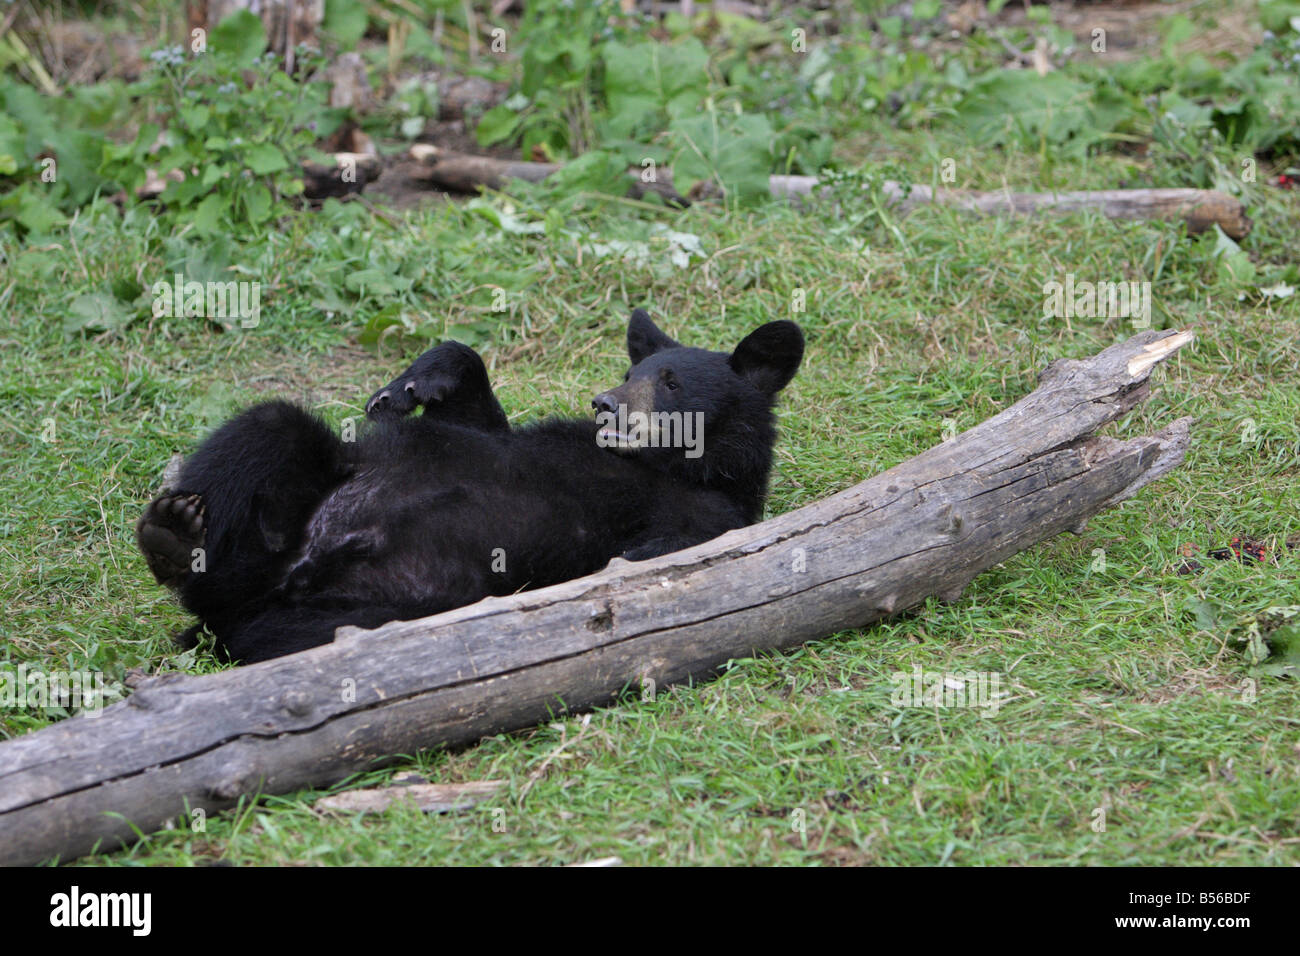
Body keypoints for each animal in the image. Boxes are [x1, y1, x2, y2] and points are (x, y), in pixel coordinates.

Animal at [135, 309, 804, 664]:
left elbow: (659, 549)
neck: (670, 468)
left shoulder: (713, 516)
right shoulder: (519, 439)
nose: (605, 404)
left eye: (670, 383)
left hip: (381, 606)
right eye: (630, 371)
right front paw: (406, 386)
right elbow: (477, 414)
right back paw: (173, 533)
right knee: (266, 425)